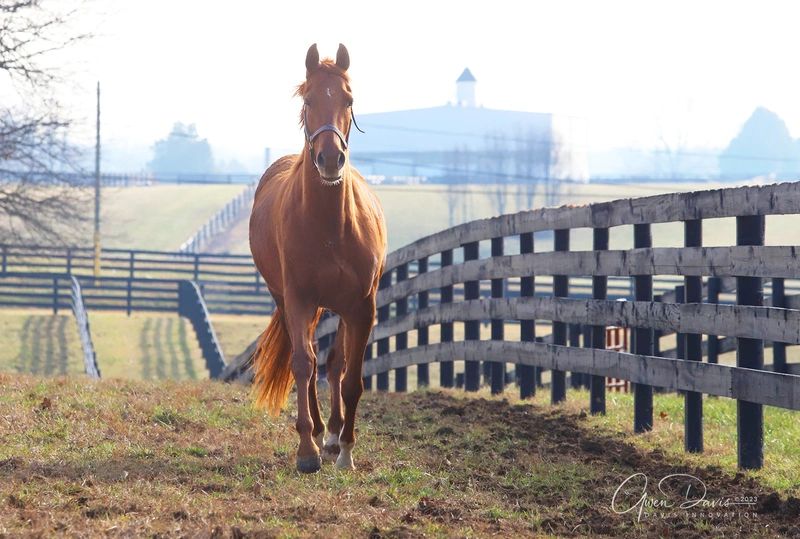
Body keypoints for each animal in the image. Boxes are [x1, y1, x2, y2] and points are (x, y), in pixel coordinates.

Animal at [248, 43, 387, 474]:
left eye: (349, 100)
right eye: (308, 100)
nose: (330, 159)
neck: (329, 227)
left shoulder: (362, 307)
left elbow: (352, 377)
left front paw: (345, 451)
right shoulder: (298, 300)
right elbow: (302, 365)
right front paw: (306, 451)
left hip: (339, 307)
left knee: (335, 363)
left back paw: (334, 434)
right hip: (291, 301)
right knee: (309, 363)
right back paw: (319, 433)